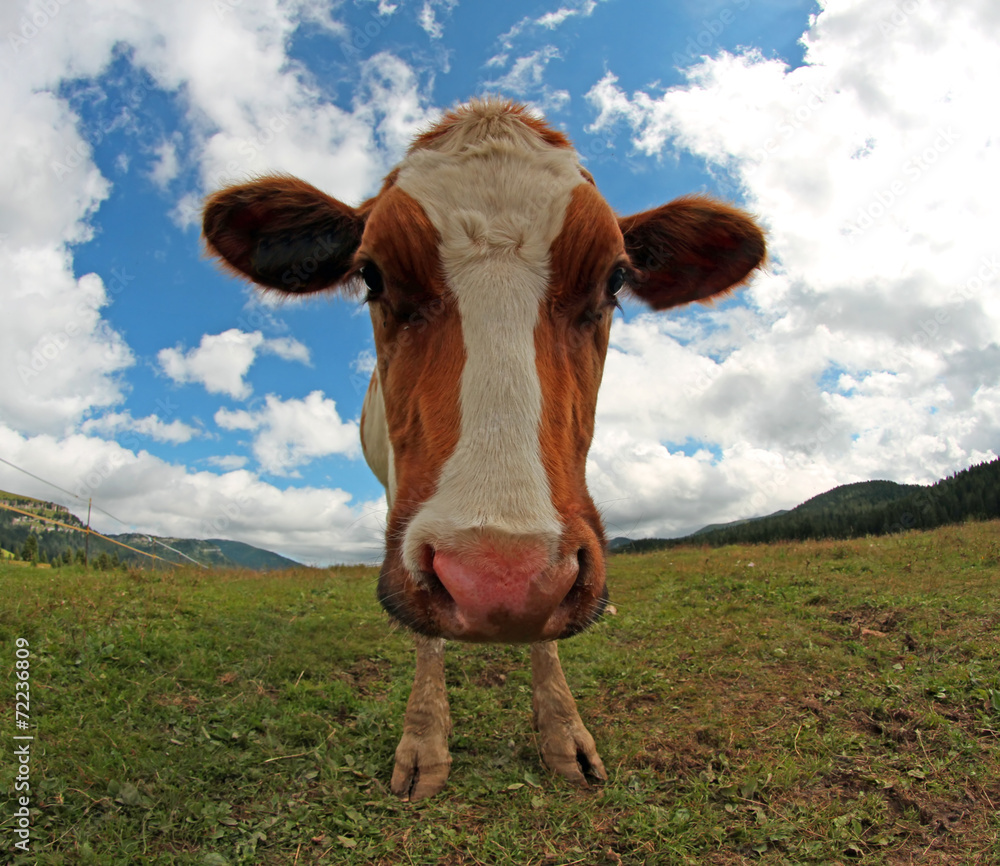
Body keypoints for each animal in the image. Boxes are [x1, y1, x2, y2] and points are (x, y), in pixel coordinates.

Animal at [203, 97, 765, 800]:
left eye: (614, 280)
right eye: (371, 274)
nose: (498, 581)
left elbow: (546, 636)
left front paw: (563, 732)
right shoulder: (400, 498)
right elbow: (424, 635)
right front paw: (424, 742)